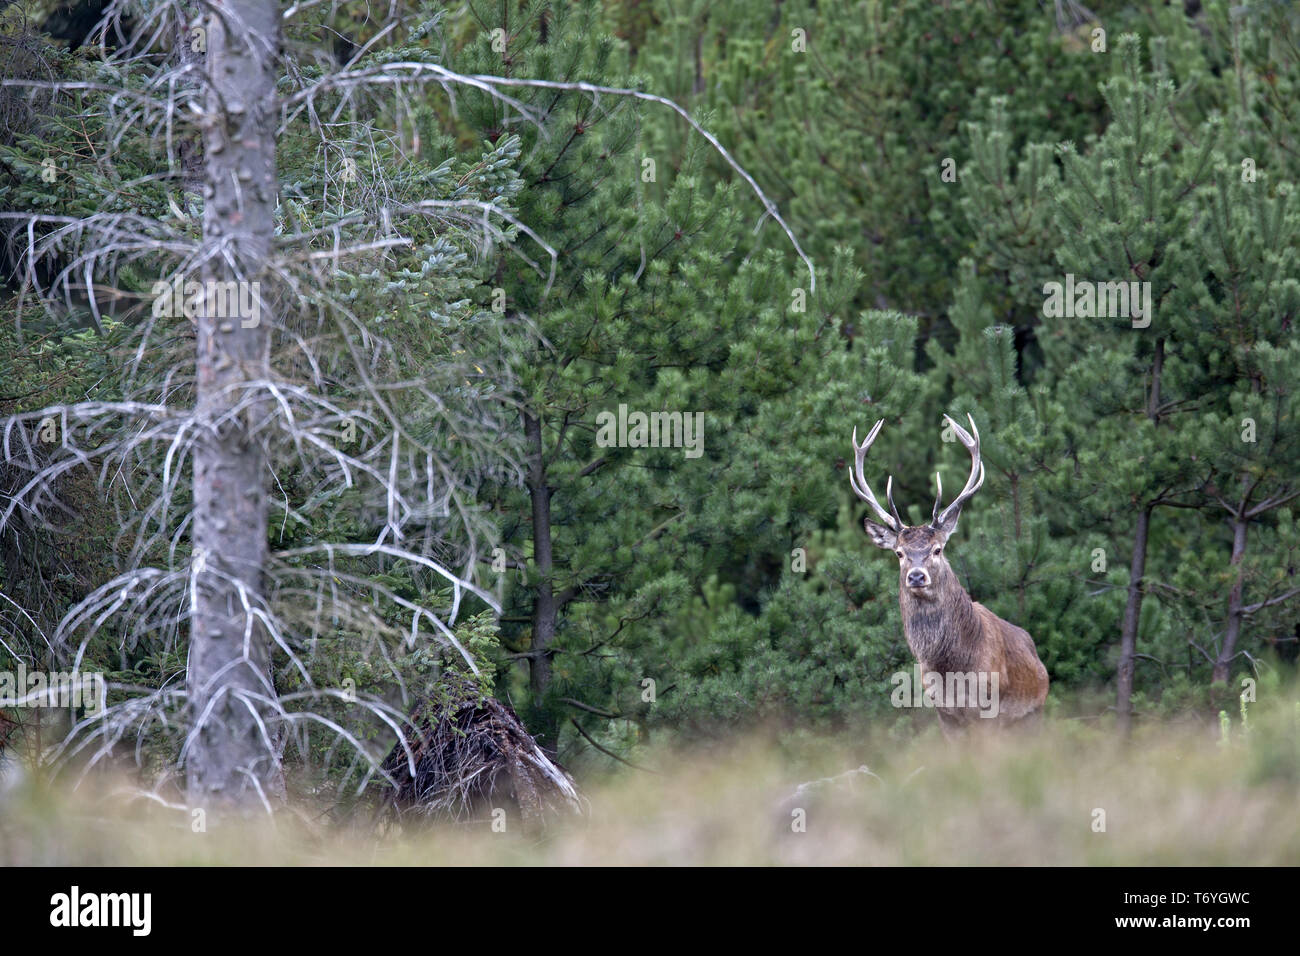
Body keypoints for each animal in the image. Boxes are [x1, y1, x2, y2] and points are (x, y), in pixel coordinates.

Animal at [849, 414, 1048, 736]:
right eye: (899, 553)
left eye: (938, 549)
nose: (916, 576)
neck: (951, 669)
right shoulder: (944, 713)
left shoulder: (988, 707)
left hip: (1033, 714)